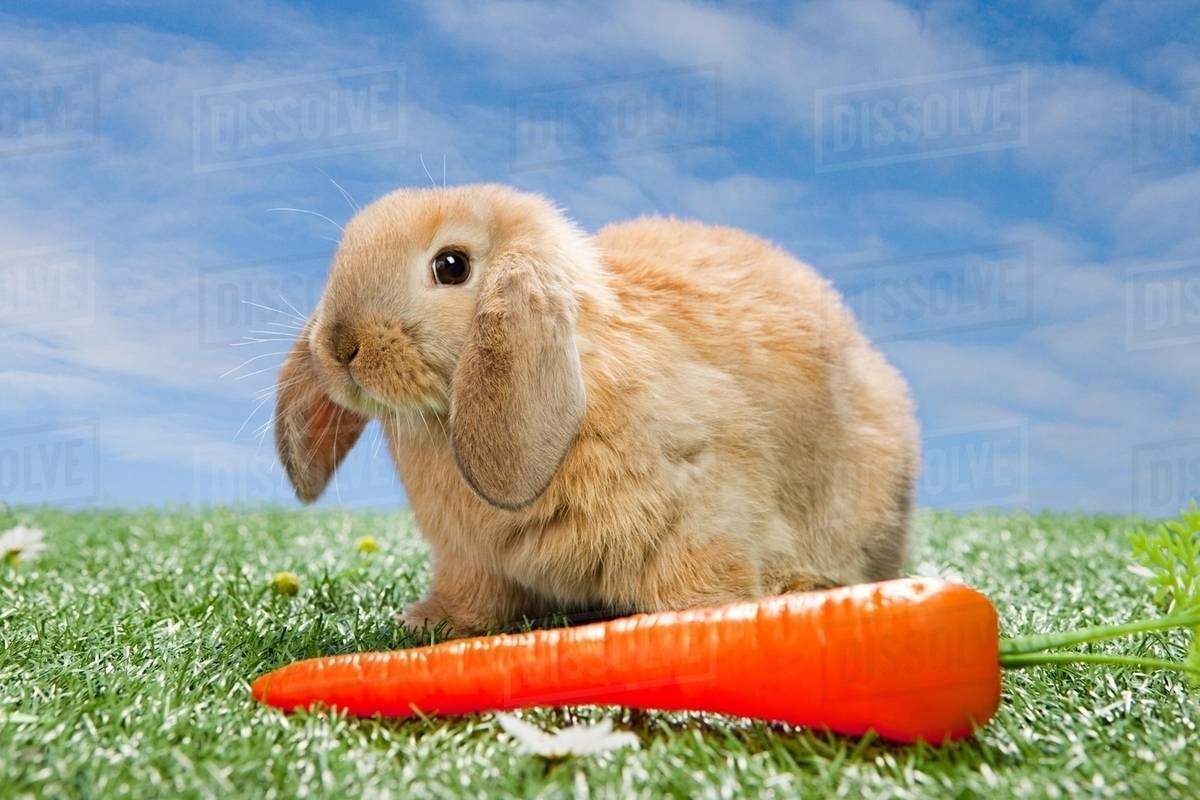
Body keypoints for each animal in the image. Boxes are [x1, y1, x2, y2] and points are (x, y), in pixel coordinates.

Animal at [274, 184, 919, 636]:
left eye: (450, 266)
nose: (339, 345)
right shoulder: (471, 559)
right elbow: (475, 596)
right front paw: (430, 621)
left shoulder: (703, 506)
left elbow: (703, 577)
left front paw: (691, 625)